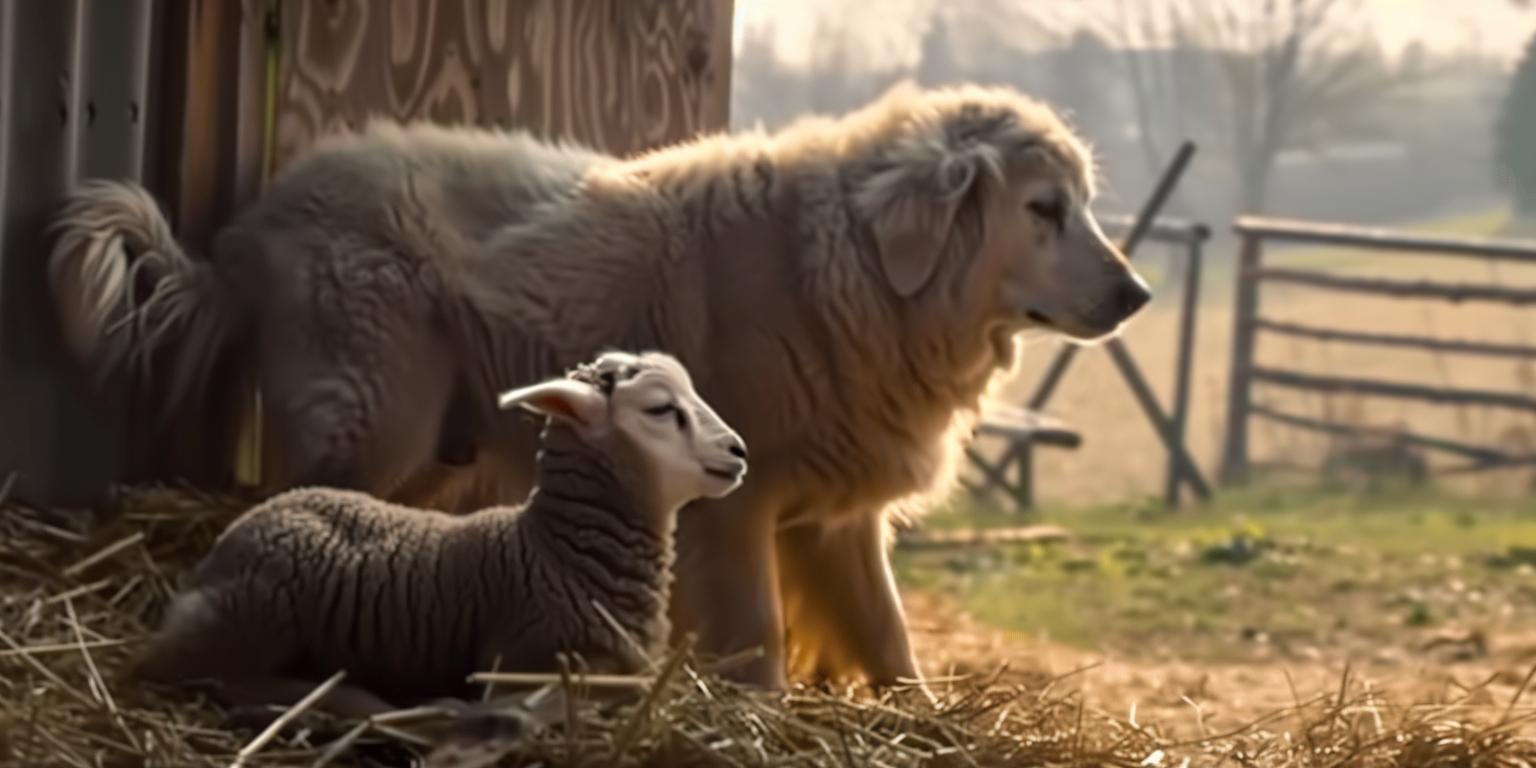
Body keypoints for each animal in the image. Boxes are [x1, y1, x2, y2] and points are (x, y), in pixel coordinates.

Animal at [130, 350, 749, 718]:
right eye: (660, 409)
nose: (739, 450)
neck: (554, 552)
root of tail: (219, 550)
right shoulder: (524, 665)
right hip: (248, 622)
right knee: (191, 671)